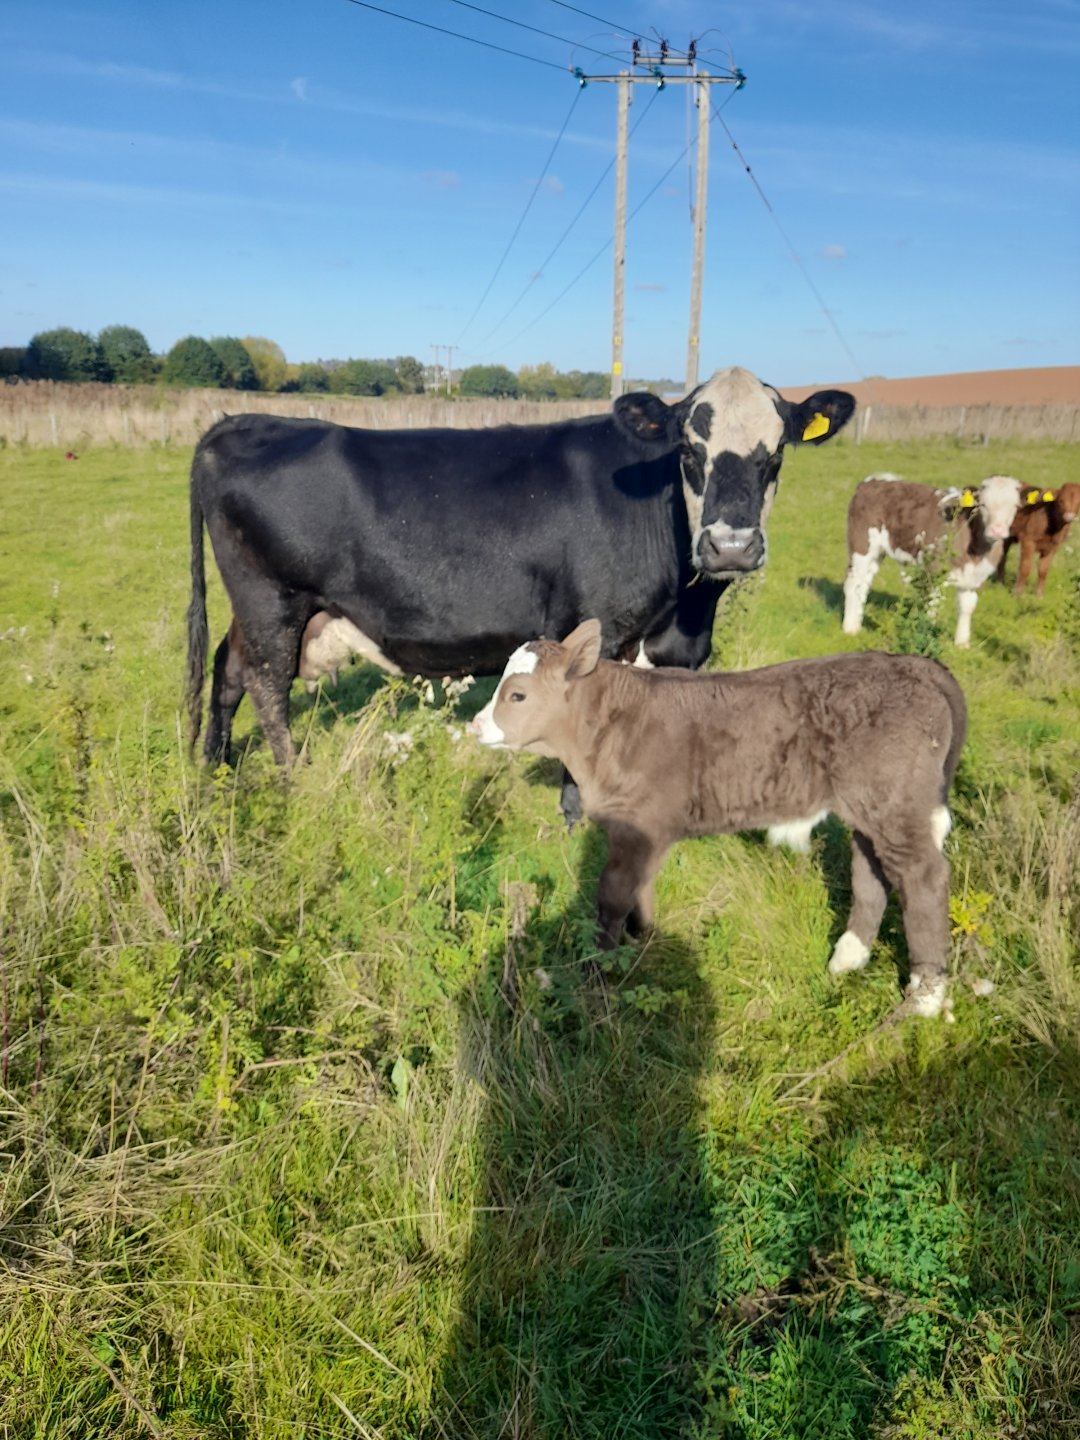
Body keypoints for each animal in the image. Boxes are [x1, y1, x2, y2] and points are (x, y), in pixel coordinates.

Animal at [185, 367, 855, 813]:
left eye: (776, 453)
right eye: (690, 450)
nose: (731, 546)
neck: (685, 612)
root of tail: (237, 423)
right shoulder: (601, 626)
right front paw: (582, 814)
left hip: (257, 609)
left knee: (228, 670)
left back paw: (214, 769)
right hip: (273, 600)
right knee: (267, 687)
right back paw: (293, 778)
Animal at [468, 619, 967, 1019]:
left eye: (517, 694)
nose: (475, 726)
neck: (610, 725)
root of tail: (915, 665)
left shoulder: (636, 823)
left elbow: (611, 895)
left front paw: (598, 970)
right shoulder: (650, 831)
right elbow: (640, 888)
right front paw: (643, 936)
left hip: (895, 803)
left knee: (923, 877)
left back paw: (925, 996)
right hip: (870, 806)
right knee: (871, 870)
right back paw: (847, 958)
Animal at [841, 472, 1023, 647]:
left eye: (1014, 507)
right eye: (983, 505)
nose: (997, 531)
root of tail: (873, 481)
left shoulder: (974, 576)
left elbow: (967, 606)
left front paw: (962, 643)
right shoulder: (935, 571)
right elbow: (933, 606)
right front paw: (928, 635)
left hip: (877, 552)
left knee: (863, 585)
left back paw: (857, 625)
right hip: (861, 546)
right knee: (853, 584)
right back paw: (849, 628)